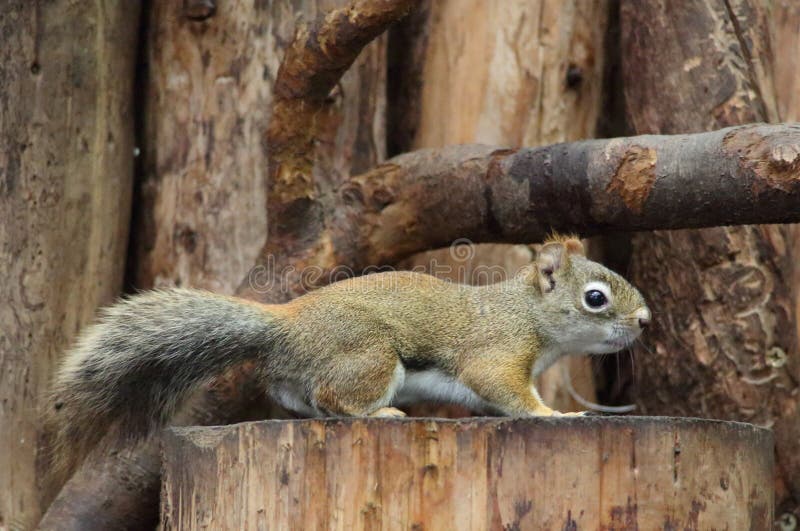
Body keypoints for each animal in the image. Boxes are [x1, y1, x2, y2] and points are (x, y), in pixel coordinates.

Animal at [48, 234, 650, 474]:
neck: (525, 313)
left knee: (306, 401)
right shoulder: (495, 352)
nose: (645, 321)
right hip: (370, 357)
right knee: (336, 398)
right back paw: (382, 414)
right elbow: (506, 390)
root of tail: (285, 326)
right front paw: (556, 414)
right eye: (595, 298)